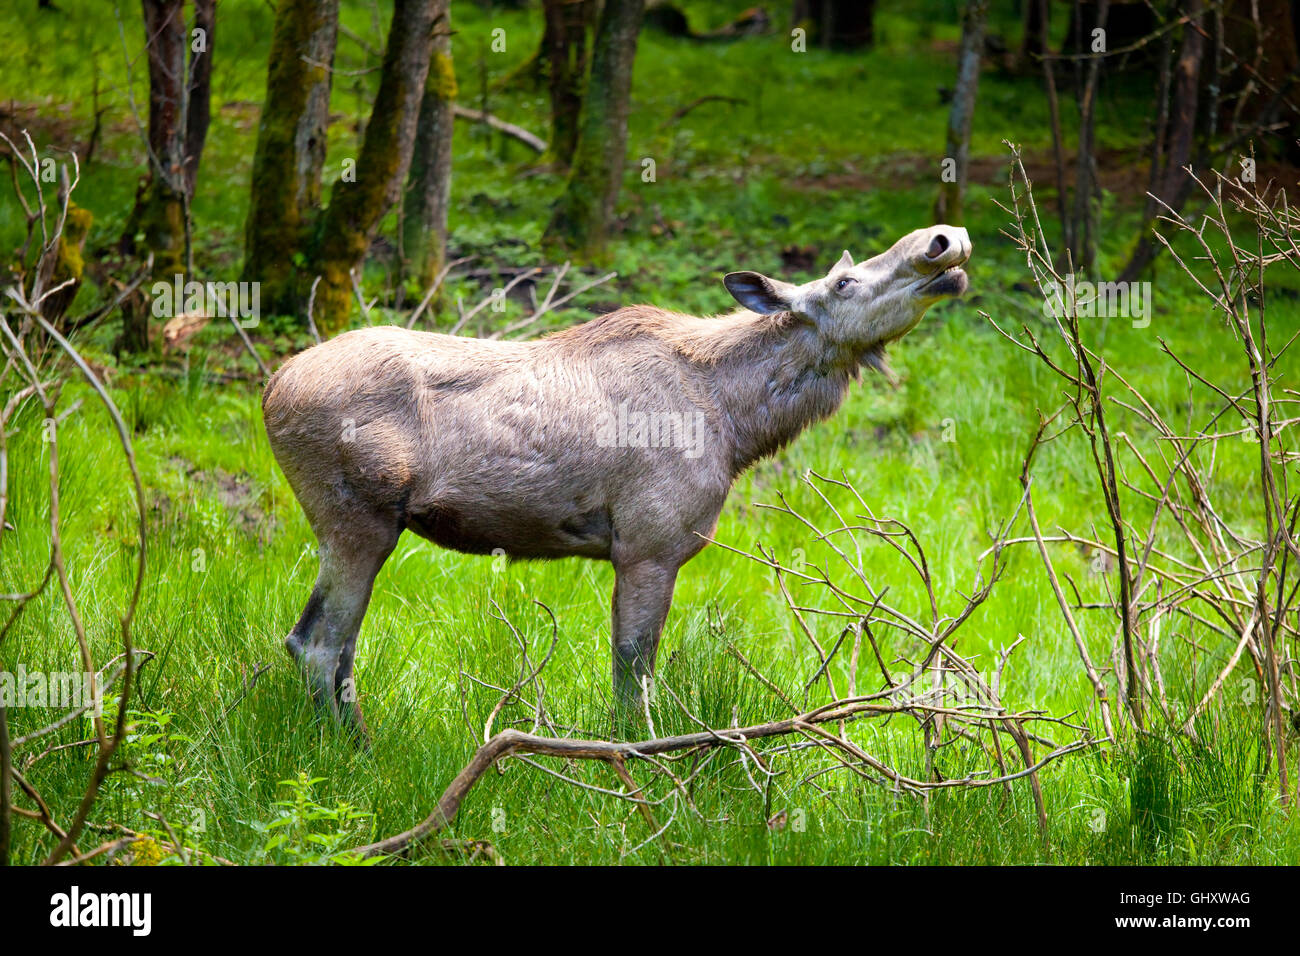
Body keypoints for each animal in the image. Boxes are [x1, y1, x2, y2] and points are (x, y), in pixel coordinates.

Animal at [262, 226, 972, 742]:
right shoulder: (648, 544)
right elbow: (633, 675)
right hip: (358, 518)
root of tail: (271, 388)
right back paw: (353, 751)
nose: (944, 239)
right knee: (320, 645)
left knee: (320, 642)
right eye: (844, 281)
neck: (737, 424)